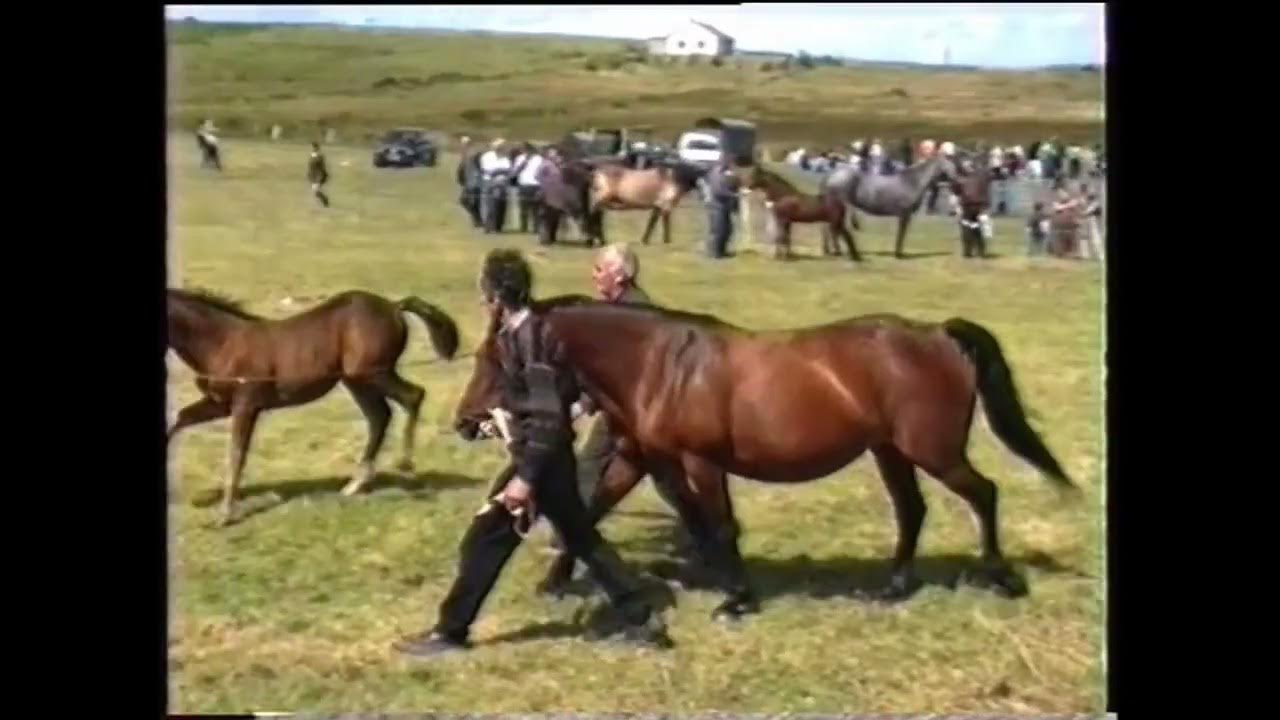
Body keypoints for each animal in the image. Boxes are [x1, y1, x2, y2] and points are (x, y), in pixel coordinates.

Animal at [166, 288, 460, 526]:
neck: (224, 344)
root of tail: (393, 306)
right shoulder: (220, 404)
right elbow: (179, 419)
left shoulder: (245, 405)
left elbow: (236, 455)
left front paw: (226, 515)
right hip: (356, 381)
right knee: (380, 416)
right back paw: (356, 483)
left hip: (372, 373)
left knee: (413, 396)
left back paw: (405, 465)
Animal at [453, 296, 1076, 622]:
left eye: (494, 358)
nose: (464, 422)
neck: (659, 364)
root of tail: (937, 334)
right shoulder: (640, 457)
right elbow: (592, 510)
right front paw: (557, 580)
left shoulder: (701, 461)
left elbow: (721, 525)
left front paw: (737, 598)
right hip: (890, 451)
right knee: (911, 510)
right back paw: (895, 586)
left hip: (933, 449)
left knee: (982, 493)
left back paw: (1002, 578)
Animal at [820, 154, 958, 258]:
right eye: (950, 165)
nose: (956, 180)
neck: (911, 182)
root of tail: (832, 175)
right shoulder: (904, 214)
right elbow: (901, 234)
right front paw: (898, 254)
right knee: (833, 229)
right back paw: (837, 251)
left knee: (827, 229)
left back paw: (829, 251)